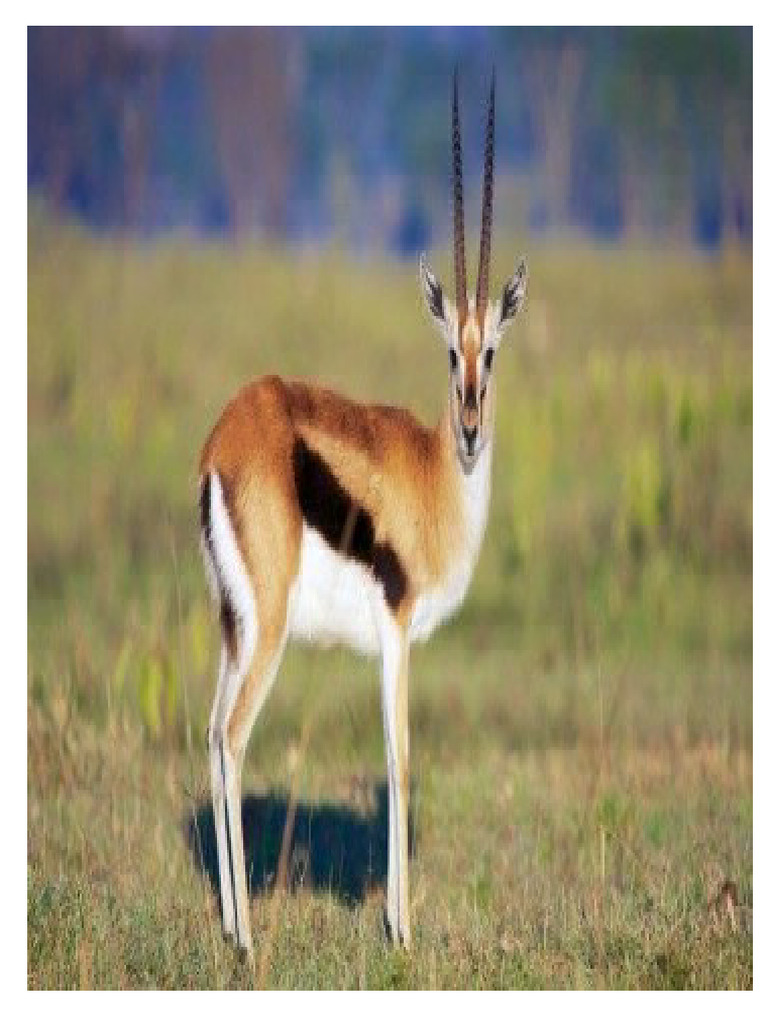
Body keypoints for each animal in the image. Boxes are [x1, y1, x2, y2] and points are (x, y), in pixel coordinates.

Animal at [198, 72, 528, 955]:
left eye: (490, 353)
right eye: (449, 351)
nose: (472, 429)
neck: (437, 479)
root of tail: (224, 440)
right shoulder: (397, 627)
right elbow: (400, 762)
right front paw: (402, 931)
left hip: (233, 627)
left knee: (208, 735)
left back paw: (234, 927)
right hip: (268, 632)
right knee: (233, 737)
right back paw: (246, 941)